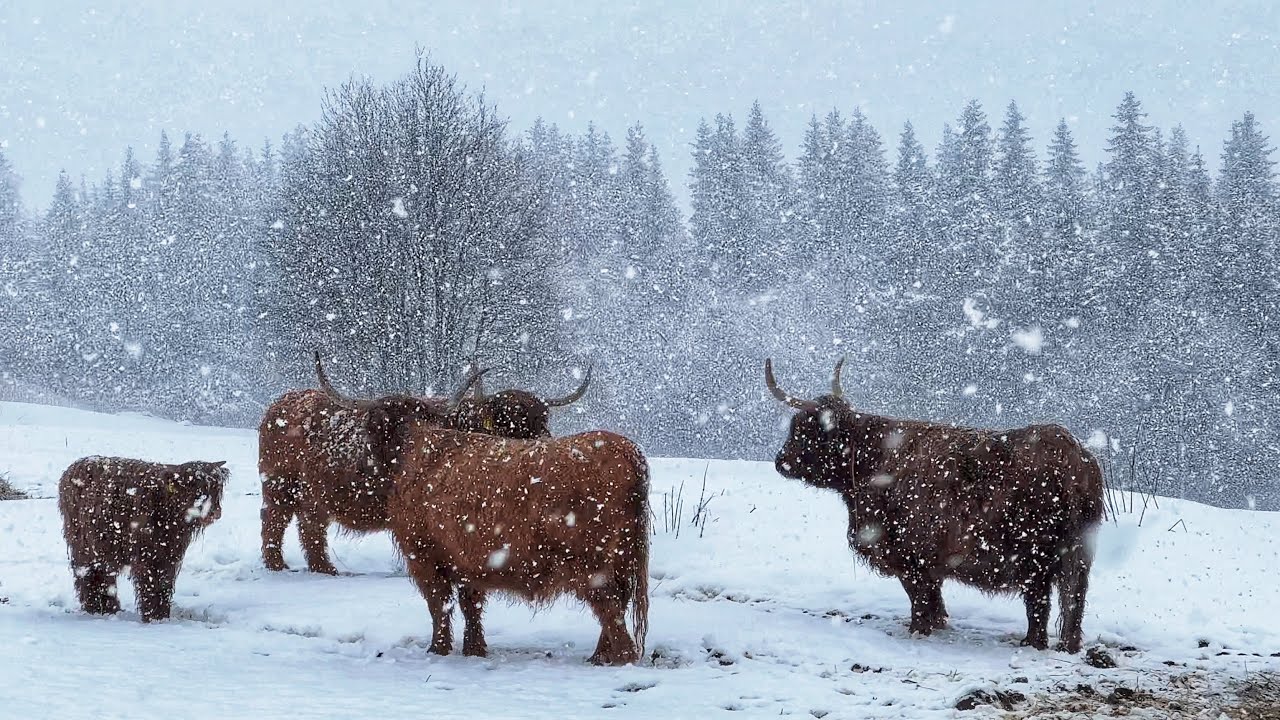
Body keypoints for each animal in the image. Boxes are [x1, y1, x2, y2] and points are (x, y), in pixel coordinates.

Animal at [58, 456, 227, 622]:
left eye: (217, 488)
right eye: (195, 489)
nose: (215, 512)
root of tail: (71, 468)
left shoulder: (170, 555)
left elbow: (164, 583)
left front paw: (162, 616)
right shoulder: (147, 553)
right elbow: (151, 583)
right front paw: (153, 616)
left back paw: (108, 608)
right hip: (84, 545)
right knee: (87, 573)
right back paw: (96, 608)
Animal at [258, 353, 484, 574]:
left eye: (423, 420)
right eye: (389, 424)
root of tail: (281, 403)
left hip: (310, 492)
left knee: (308, 523)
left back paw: (321, 567)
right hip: (279, 483)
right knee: (277, 519)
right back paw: (280, 565)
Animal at [383, 423, 650, 665]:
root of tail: (624, 449)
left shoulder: (422, 556)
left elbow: (439, 605)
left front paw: (438, 649)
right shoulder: (466, 561)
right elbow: (470, 604)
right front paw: (474, 650)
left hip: (590, 560)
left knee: (608, 603)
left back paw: (620, 657)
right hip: (622, 556)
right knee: (618, 600)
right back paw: (601, 656)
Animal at [764, 358, 1104, 653]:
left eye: (805, 429)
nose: (781, 461)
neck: (871, 461)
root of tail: (1073, 452)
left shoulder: (906, 552)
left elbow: (918, 596)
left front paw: (918, 630)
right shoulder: (929, 559)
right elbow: (933, 597)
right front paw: (939, 625)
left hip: (1036, 555)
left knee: (1040, 601)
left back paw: (1032, 643)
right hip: (1079, 554)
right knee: (1074, 601)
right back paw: (1068, 646)